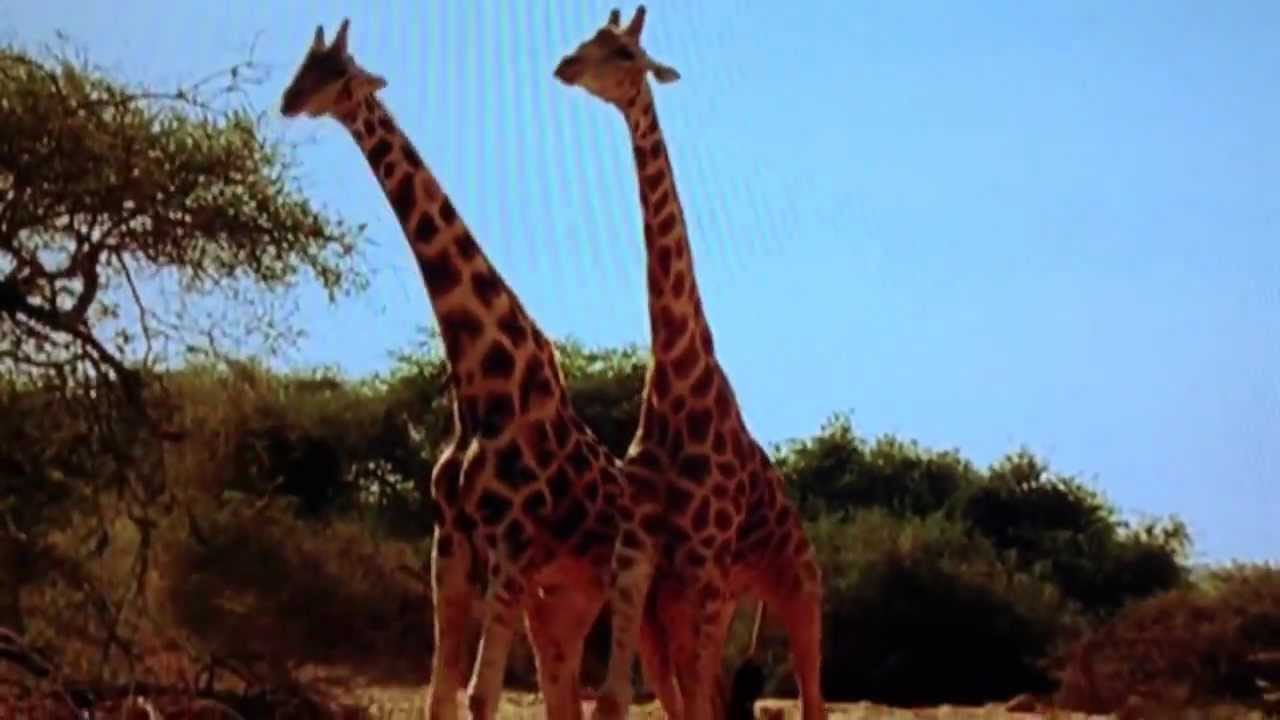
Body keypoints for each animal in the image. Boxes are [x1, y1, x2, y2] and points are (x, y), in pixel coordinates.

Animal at [279, 19, 653, 720]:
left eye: (339, 73)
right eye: (303, 65)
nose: (289, 102)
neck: (482, 380)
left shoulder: (509, 542)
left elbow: (480, 695)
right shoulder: (450, 537)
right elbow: (440, 694)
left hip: (627, 578)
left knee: (616, 692)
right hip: (563, 594)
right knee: (564, 692)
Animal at [554, 8, 827, 720]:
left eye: (624, 52)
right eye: (589, 38)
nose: (566, 65)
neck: (680, 378)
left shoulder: (706, 563)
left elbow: (702, 696)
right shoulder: (642, 557)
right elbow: (625, 697)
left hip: (796, 591)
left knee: (810, 696)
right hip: (696, 603)